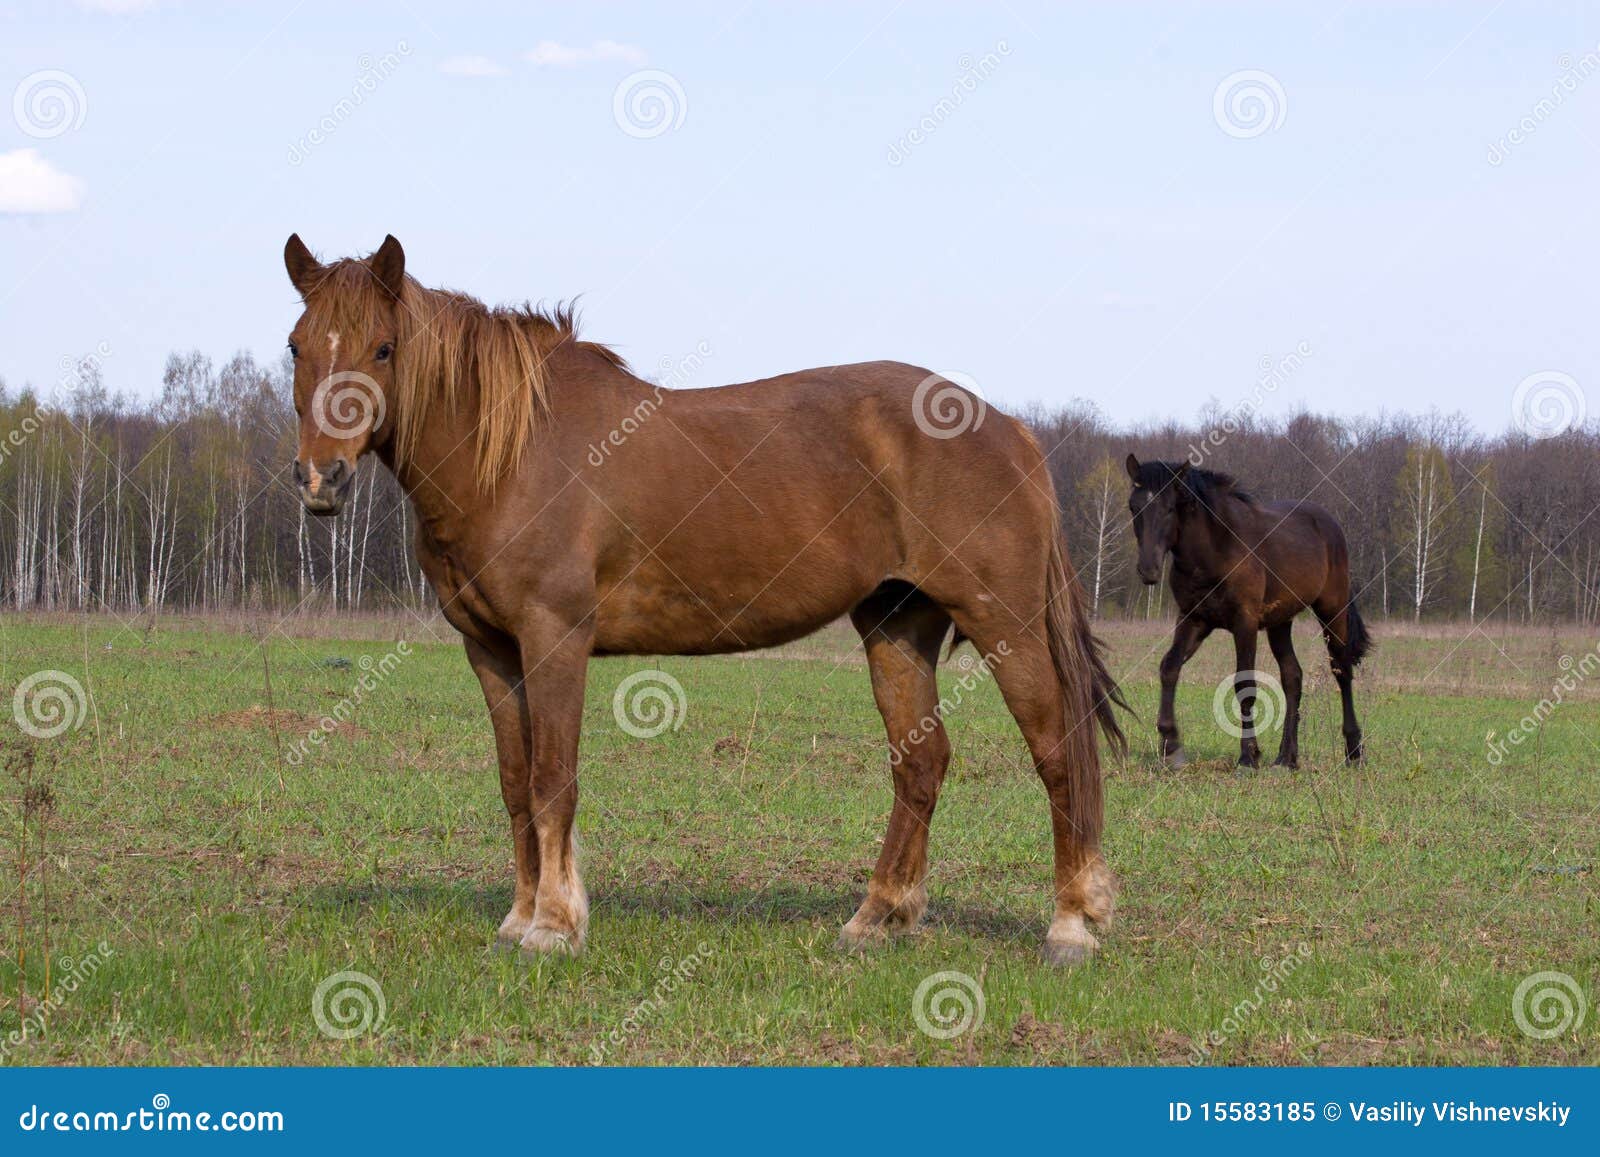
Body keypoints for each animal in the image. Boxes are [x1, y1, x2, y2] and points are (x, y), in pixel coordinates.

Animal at [281, 234, 1127, 965]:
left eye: (384, 348)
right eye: (297, 345)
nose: (321, 477)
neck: (515, 452)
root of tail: (1011, 430)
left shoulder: (555, 637)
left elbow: (554, 778)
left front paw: (554, 927)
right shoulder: (490, 649)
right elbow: (516, 784)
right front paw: (519, 919)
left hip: (1005, 624)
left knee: (1058, 752)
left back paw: (1070, 926)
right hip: (897, 625)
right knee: (920, 763)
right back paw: (876, 918)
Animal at [1123, 455, 1370, 769]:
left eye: (1170, 508)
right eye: (1133, 506)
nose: (1148, 569)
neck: (1216, 550)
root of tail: (1330, 525)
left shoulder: (1245, 622)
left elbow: (1244, 684)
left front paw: (1248, 756)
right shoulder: (1193, 619)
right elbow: (1169, 667)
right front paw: (1171, 747)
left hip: (1331, 611)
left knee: (1341, 669)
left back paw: (1353, 751)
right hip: (1280, 622)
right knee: (1292, 676)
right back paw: (1286, 758)